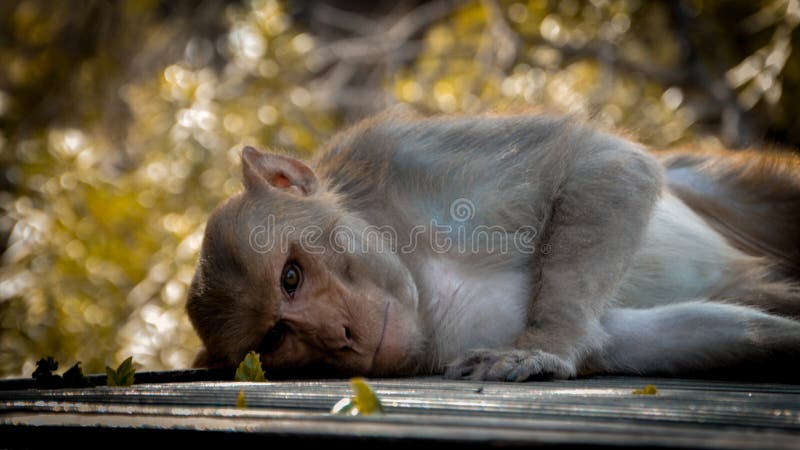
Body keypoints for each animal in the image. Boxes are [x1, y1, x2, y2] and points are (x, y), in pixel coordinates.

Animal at [186, 110, 800, 381]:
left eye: (290, 276)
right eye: (275, 336)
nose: (341, 336)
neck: (419, 276)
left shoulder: (410, 159)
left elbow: (606, 163)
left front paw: (545, 344)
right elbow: (639, 340)